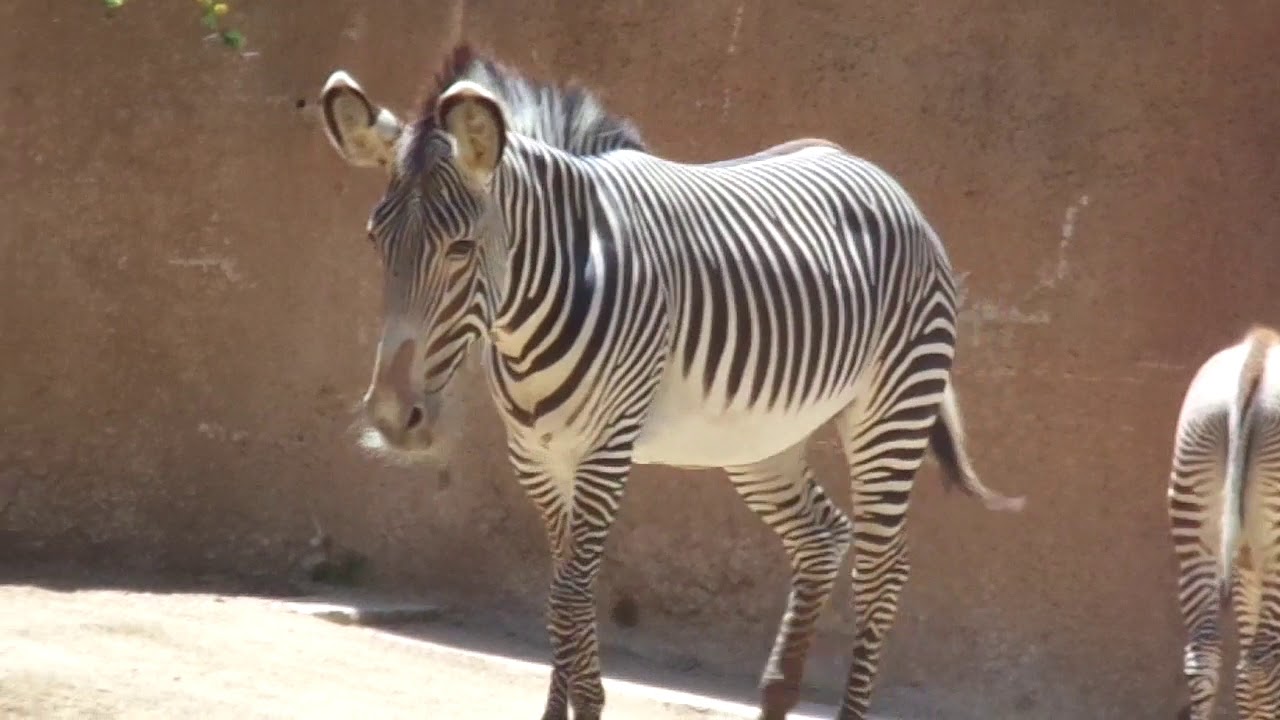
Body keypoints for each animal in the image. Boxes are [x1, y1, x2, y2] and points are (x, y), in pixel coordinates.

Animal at [317, 44, 1025, 720]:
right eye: (376, 240)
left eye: (461, 249)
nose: (392, 417)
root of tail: (878, 175)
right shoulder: (538, 457)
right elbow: (560, 596)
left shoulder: (607, 448)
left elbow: (570, 597)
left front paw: (588, 706)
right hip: (760, 441)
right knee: (824, 536)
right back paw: (776, 694)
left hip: (893, 406)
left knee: (883, 568)